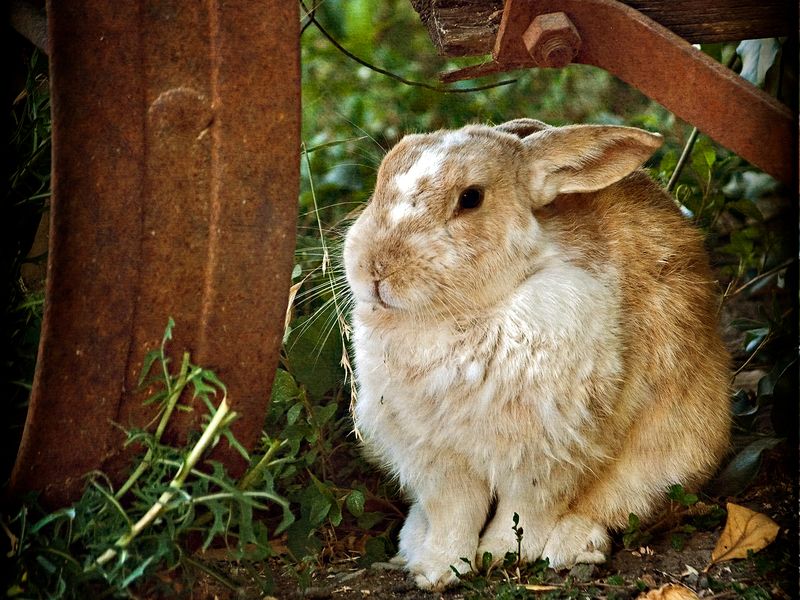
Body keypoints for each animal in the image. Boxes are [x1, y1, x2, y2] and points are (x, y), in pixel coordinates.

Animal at [342, 118, 730, 591]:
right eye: (381, 177)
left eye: (471, 198)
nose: (375, 270)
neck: (466, 315)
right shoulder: (437, 459)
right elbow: (455, 514)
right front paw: (438, 571)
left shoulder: (550, 451)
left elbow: (524, 508)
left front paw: (500, 555)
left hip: (671, 454)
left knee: (616, 503)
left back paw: (572, 546)